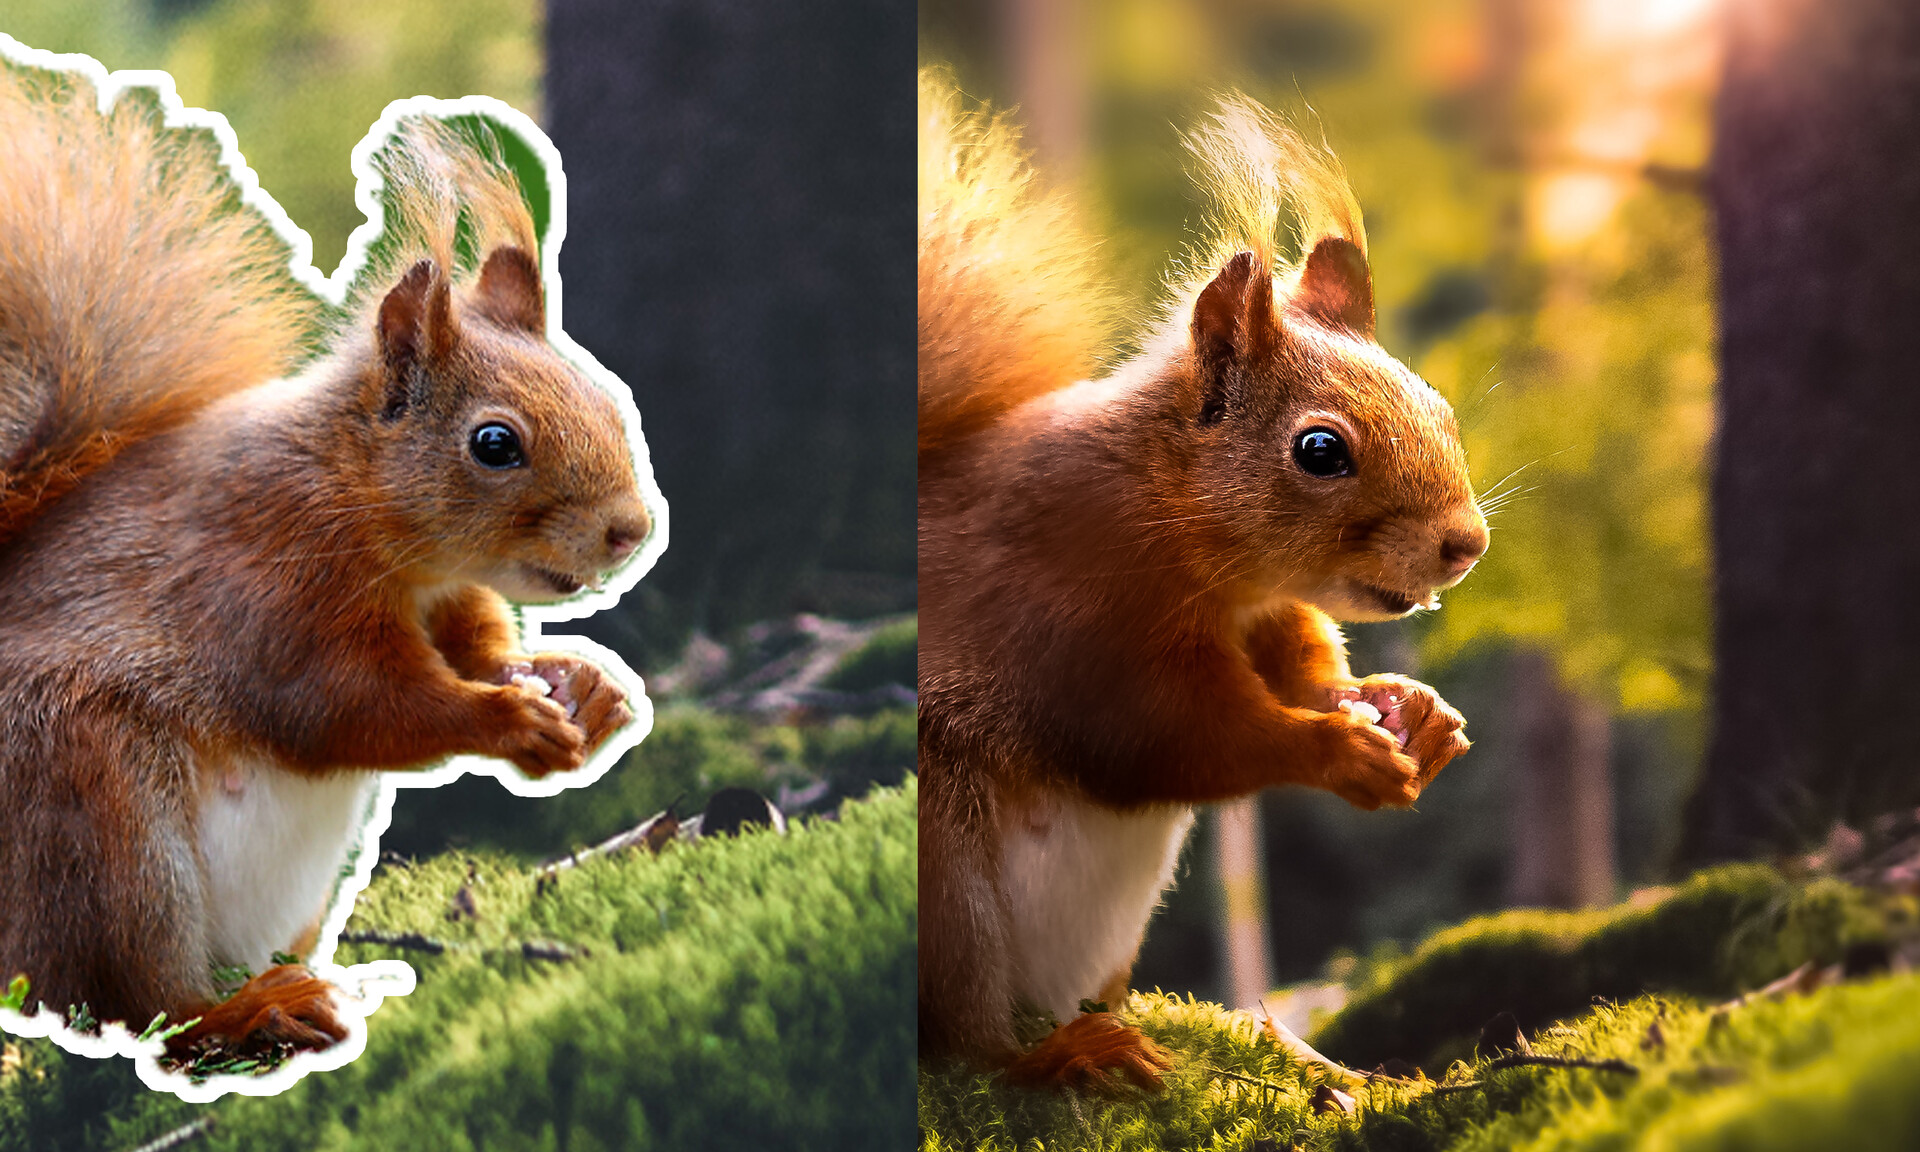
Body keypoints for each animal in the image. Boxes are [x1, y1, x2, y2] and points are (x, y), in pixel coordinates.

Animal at [0, 64, 654, 1061]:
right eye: (494, 443)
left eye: (608, 401)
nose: (633, 528)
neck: (365, 506)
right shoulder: (272, 581)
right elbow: (349, 706)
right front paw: (508, 721)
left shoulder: (447, 599)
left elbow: (476, 651)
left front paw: (580, 686)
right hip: (94, 815)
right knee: (129, 999)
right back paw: (245, 1012)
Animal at [918, 74, 1488, 1089]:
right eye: (1319, 450)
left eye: (1440, 407)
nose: (1467, 544)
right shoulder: (1078, 625)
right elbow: (1182, 738)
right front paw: (1335, 753)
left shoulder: (1269, 615)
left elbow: (1305, 671)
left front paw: (1411, 709)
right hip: (942, 865)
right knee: (967, 1039)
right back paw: (1059, 1055)